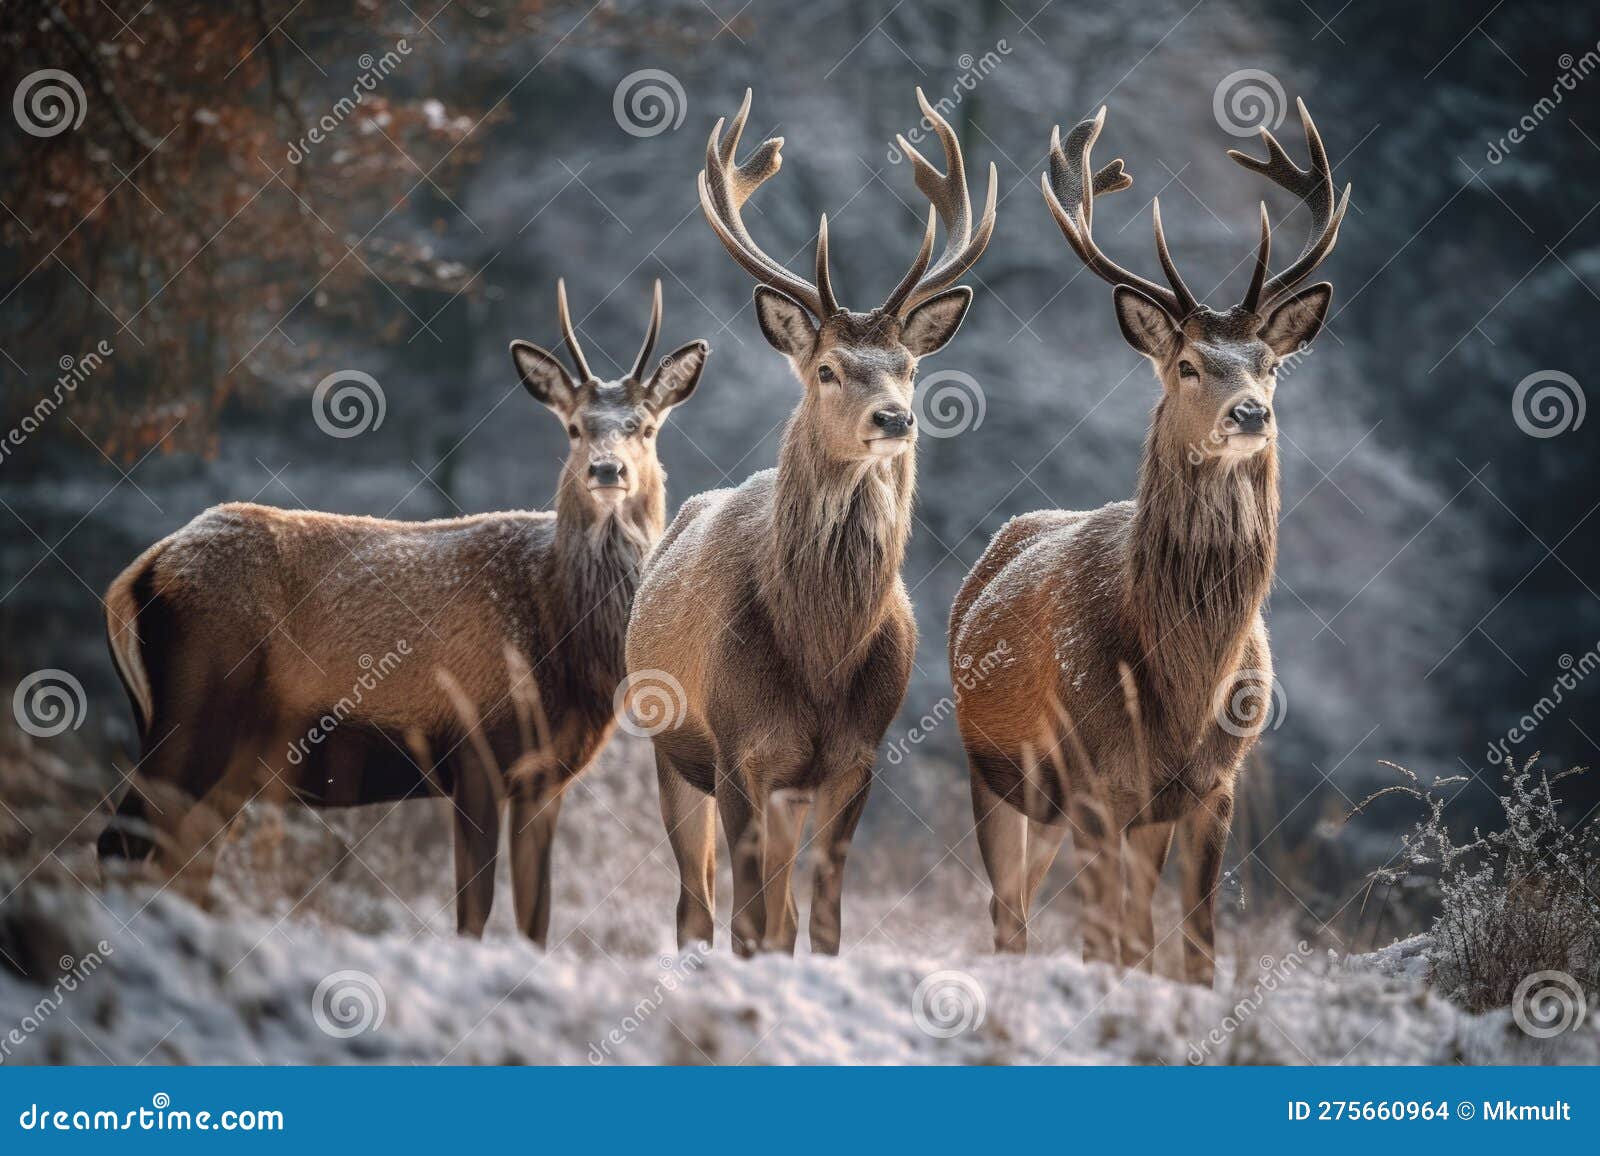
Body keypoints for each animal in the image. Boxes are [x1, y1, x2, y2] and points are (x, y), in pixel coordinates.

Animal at [98, 280, 709, 945]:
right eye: (573, 428)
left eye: (644, 427)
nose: (606, 469)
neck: (559, 636)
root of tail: (136, 576)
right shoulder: (472, 747)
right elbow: (473, 914)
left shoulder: (545, 776)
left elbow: (535, 919)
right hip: (190, 717)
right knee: (121, 843)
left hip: (215, 757)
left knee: (180, 861)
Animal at [625, 88, 995, 957]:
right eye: (827, 368)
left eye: (908, 366)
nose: (895, 418)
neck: (821, 650)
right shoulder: (739, 751)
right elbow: (749, 922)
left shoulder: (854, 759)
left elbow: (820, 921)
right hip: (671, 749)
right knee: (696, 905)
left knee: (778, 911)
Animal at [950, 100, 1348, 984]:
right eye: (1190, 364)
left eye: (1269, 362)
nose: (1252, 412)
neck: (1182, 685)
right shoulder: (1096, 781)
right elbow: (1111, 944)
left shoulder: (1210, 789)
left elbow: (1193, 951)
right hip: (997, 774)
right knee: (1011, 915)